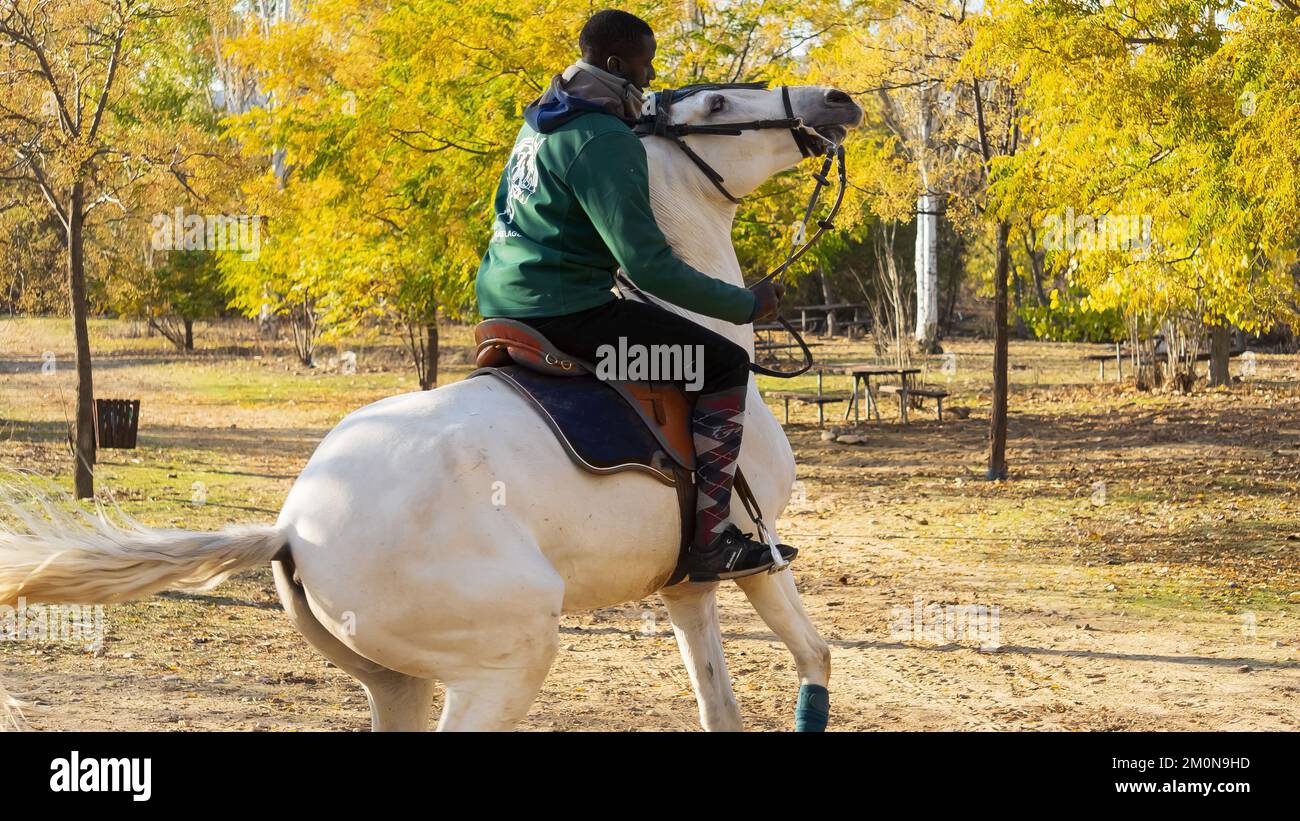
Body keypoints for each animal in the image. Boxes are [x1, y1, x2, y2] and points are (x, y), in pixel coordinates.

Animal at [0, 83, 863, 731]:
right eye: (716, 103)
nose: (834, 100)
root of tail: (294, 524)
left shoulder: (687, 588)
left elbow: (722, 704)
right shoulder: (757, 553)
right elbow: (816, 654)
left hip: (396, 681)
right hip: (508, 655)